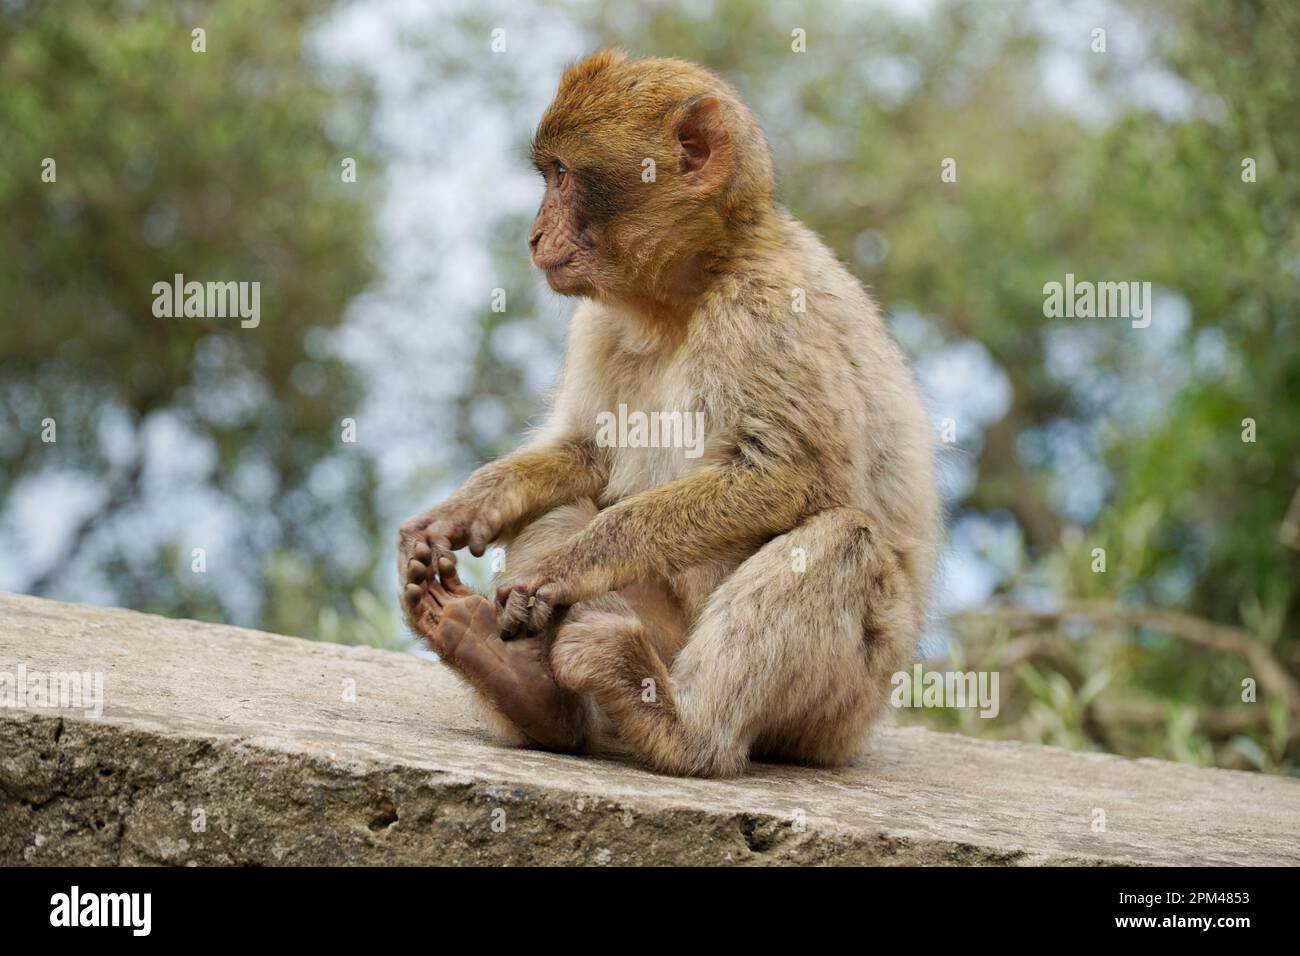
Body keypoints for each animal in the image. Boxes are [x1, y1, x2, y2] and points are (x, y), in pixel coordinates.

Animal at [398, 49, 939, 778]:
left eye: (562, 174)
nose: (534, 235)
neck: (685, 296)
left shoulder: (765, 311)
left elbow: (793, 476)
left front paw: (568, 565)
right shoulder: (599, 321)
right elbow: (587, 455)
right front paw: (466, 507)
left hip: (844, 708)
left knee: (843, 539)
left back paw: (682, 729)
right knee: (557, 505)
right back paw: (527, 689)